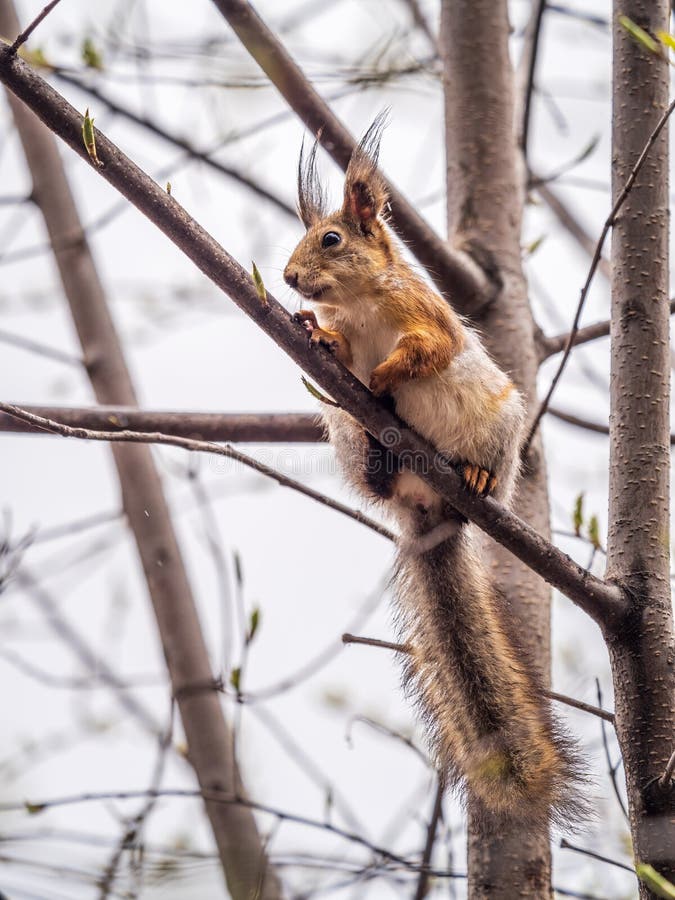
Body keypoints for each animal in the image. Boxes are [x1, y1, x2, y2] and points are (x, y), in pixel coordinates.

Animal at [283, 115, 585, 832]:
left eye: (332, 239)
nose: (288, 278)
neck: (361, 303)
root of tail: (430, 510)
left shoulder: (427, 316)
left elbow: (430, 350)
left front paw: (388, 375)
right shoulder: (347, 342)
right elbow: (343, 353)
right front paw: (321, 336)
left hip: (500, 434)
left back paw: (473, 476)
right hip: (349, 442)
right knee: (373, 468)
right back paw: (380, 457)